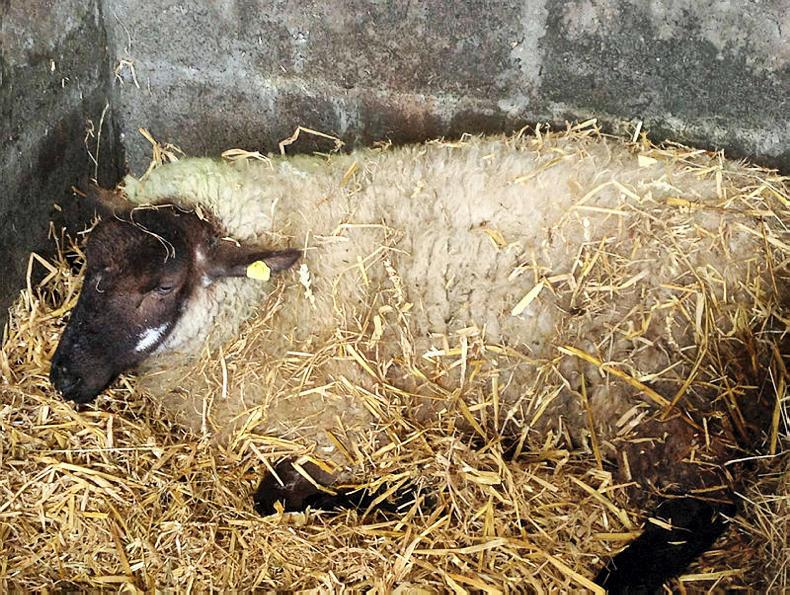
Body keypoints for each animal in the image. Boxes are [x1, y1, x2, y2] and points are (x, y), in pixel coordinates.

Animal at [50, 127, 788, 591]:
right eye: (88, 268)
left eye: (161, 287)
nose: (63, 376)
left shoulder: (335, 421)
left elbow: (277, 496)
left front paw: (414, 493)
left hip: (660, 392)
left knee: (701, 504)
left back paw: (617, 574)